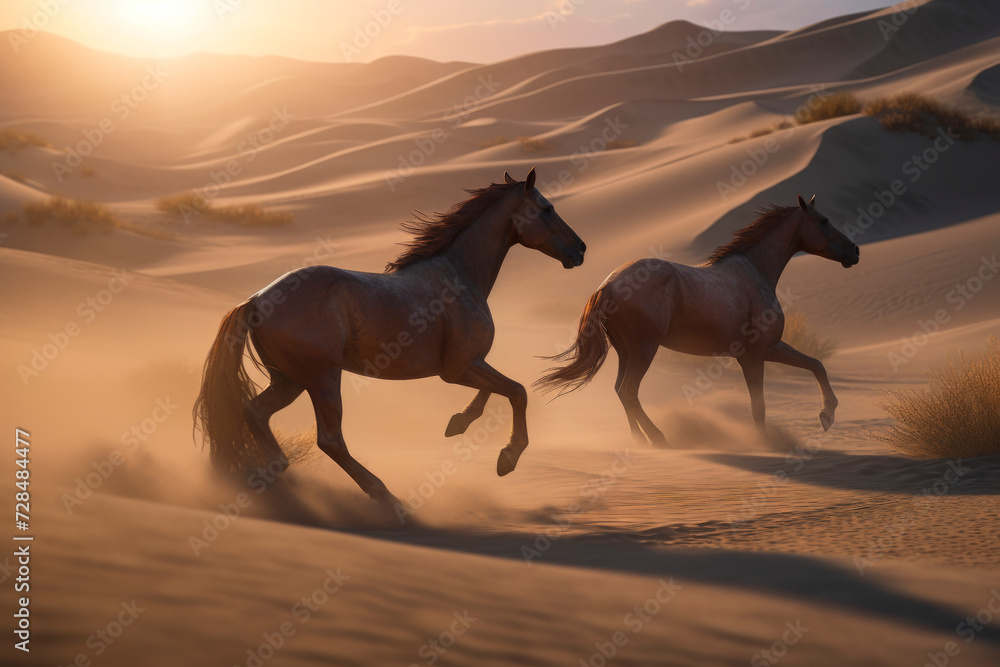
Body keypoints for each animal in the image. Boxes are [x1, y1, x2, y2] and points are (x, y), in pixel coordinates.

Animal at [193, 168, 586, 503]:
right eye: (547, 208)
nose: (580, 249)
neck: (459, 275)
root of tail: (257, 299)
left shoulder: (471, 363)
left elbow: (493, 391)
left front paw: (457, 423)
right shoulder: (458, 369)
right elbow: (516, 391)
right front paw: (508, 456)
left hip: (289, 380)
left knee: (256, 412)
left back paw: (276, 475)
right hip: (322, 379)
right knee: (330, 440)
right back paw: (386, 496)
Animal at [535, 195, 859, 444]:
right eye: (823, 221)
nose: (854, 250)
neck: (754, 271)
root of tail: (608, 285)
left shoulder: (769, 350)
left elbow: (815, 365)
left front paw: (827, 415)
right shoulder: (754, 357)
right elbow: (760, 407)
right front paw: (768, 442)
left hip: (625, 351)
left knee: (621, 391)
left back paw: (640, 440)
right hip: (643, 350)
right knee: (628, 391)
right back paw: (658, 438)